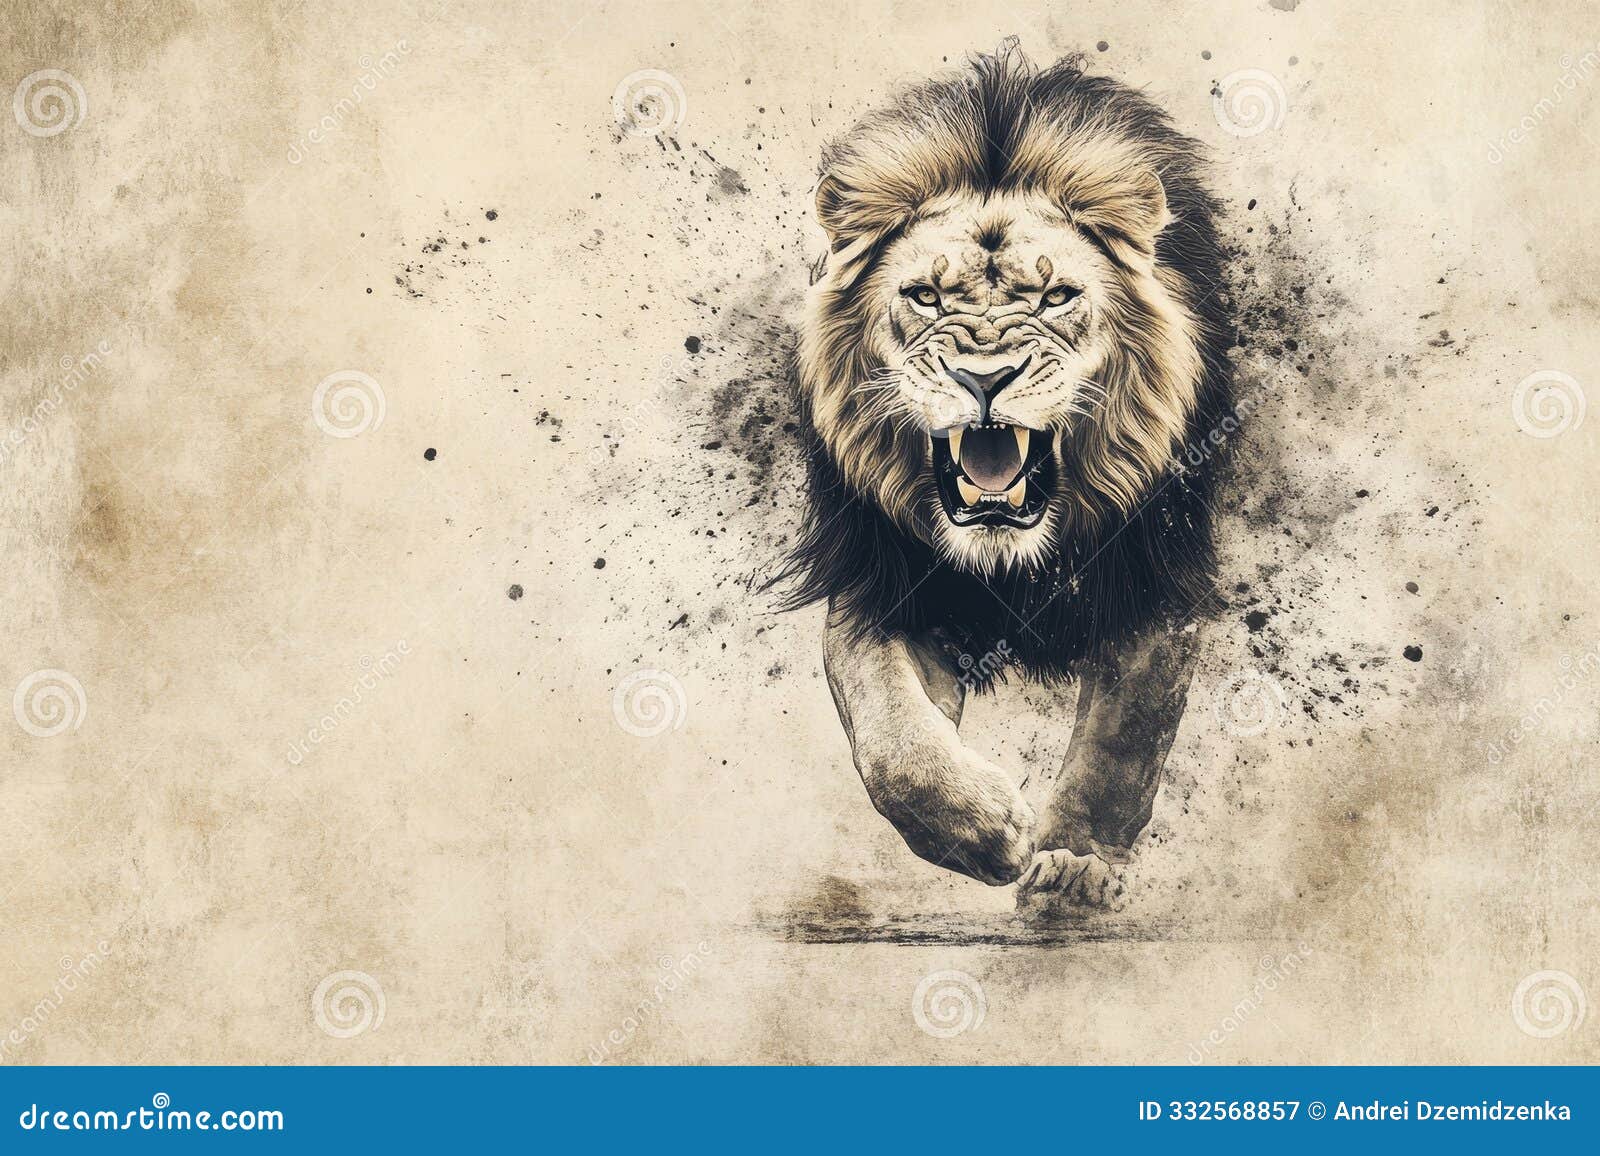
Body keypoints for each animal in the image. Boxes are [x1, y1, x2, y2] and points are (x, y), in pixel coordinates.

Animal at [776, 44, 1234, 908]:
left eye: (1058, 297)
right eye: (923, 295)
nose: (984, 377)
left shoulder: (1158, 579)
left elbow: (1124, 736)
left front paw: (1075, 866)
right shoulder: (885, 583)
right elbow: (892, 741)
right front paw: (985, 834)